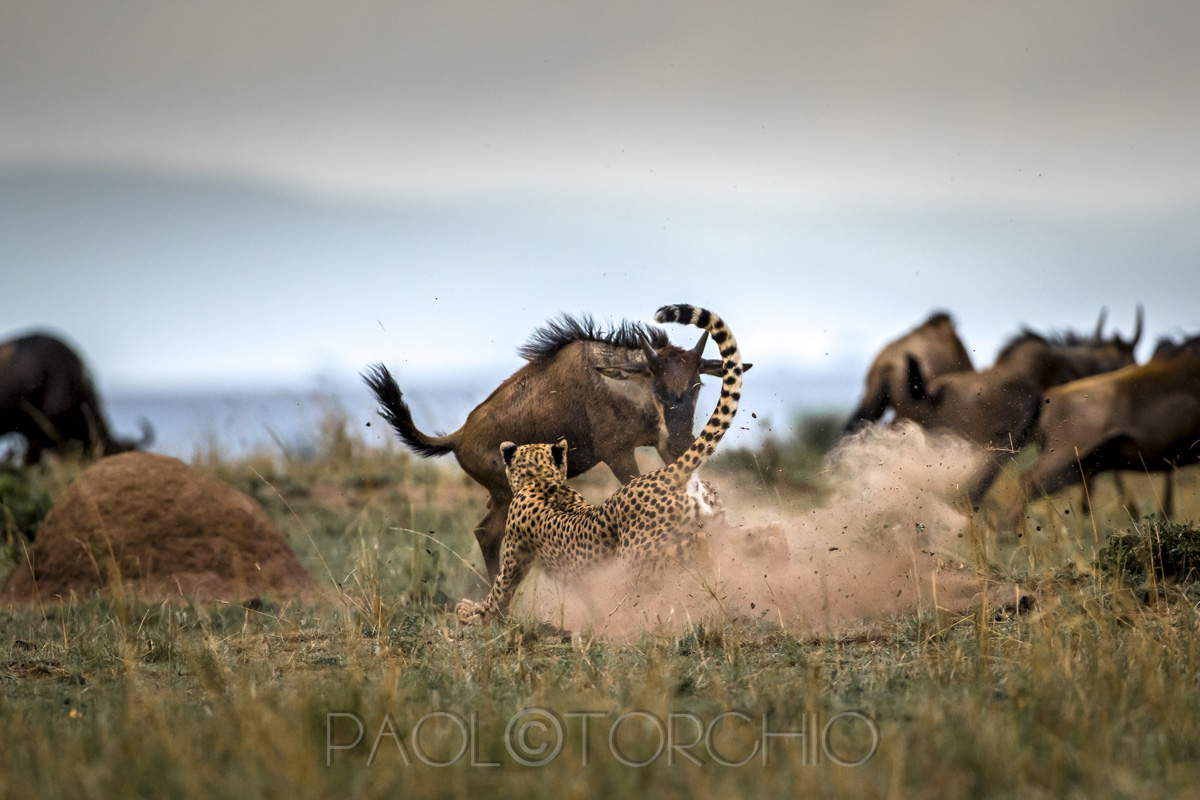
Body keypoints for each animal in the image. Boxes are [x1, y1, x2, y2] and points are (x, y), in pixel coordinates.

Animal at [456, 303, 743, 625]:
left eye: (697, 385)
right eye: (657, 386)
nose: (682, 441)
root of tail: (457, 438)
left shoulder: (662, 446)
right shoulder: (617, 453)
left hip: (503, 499)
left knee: (487, 534)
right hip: (505, 497)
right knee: (487, 535)